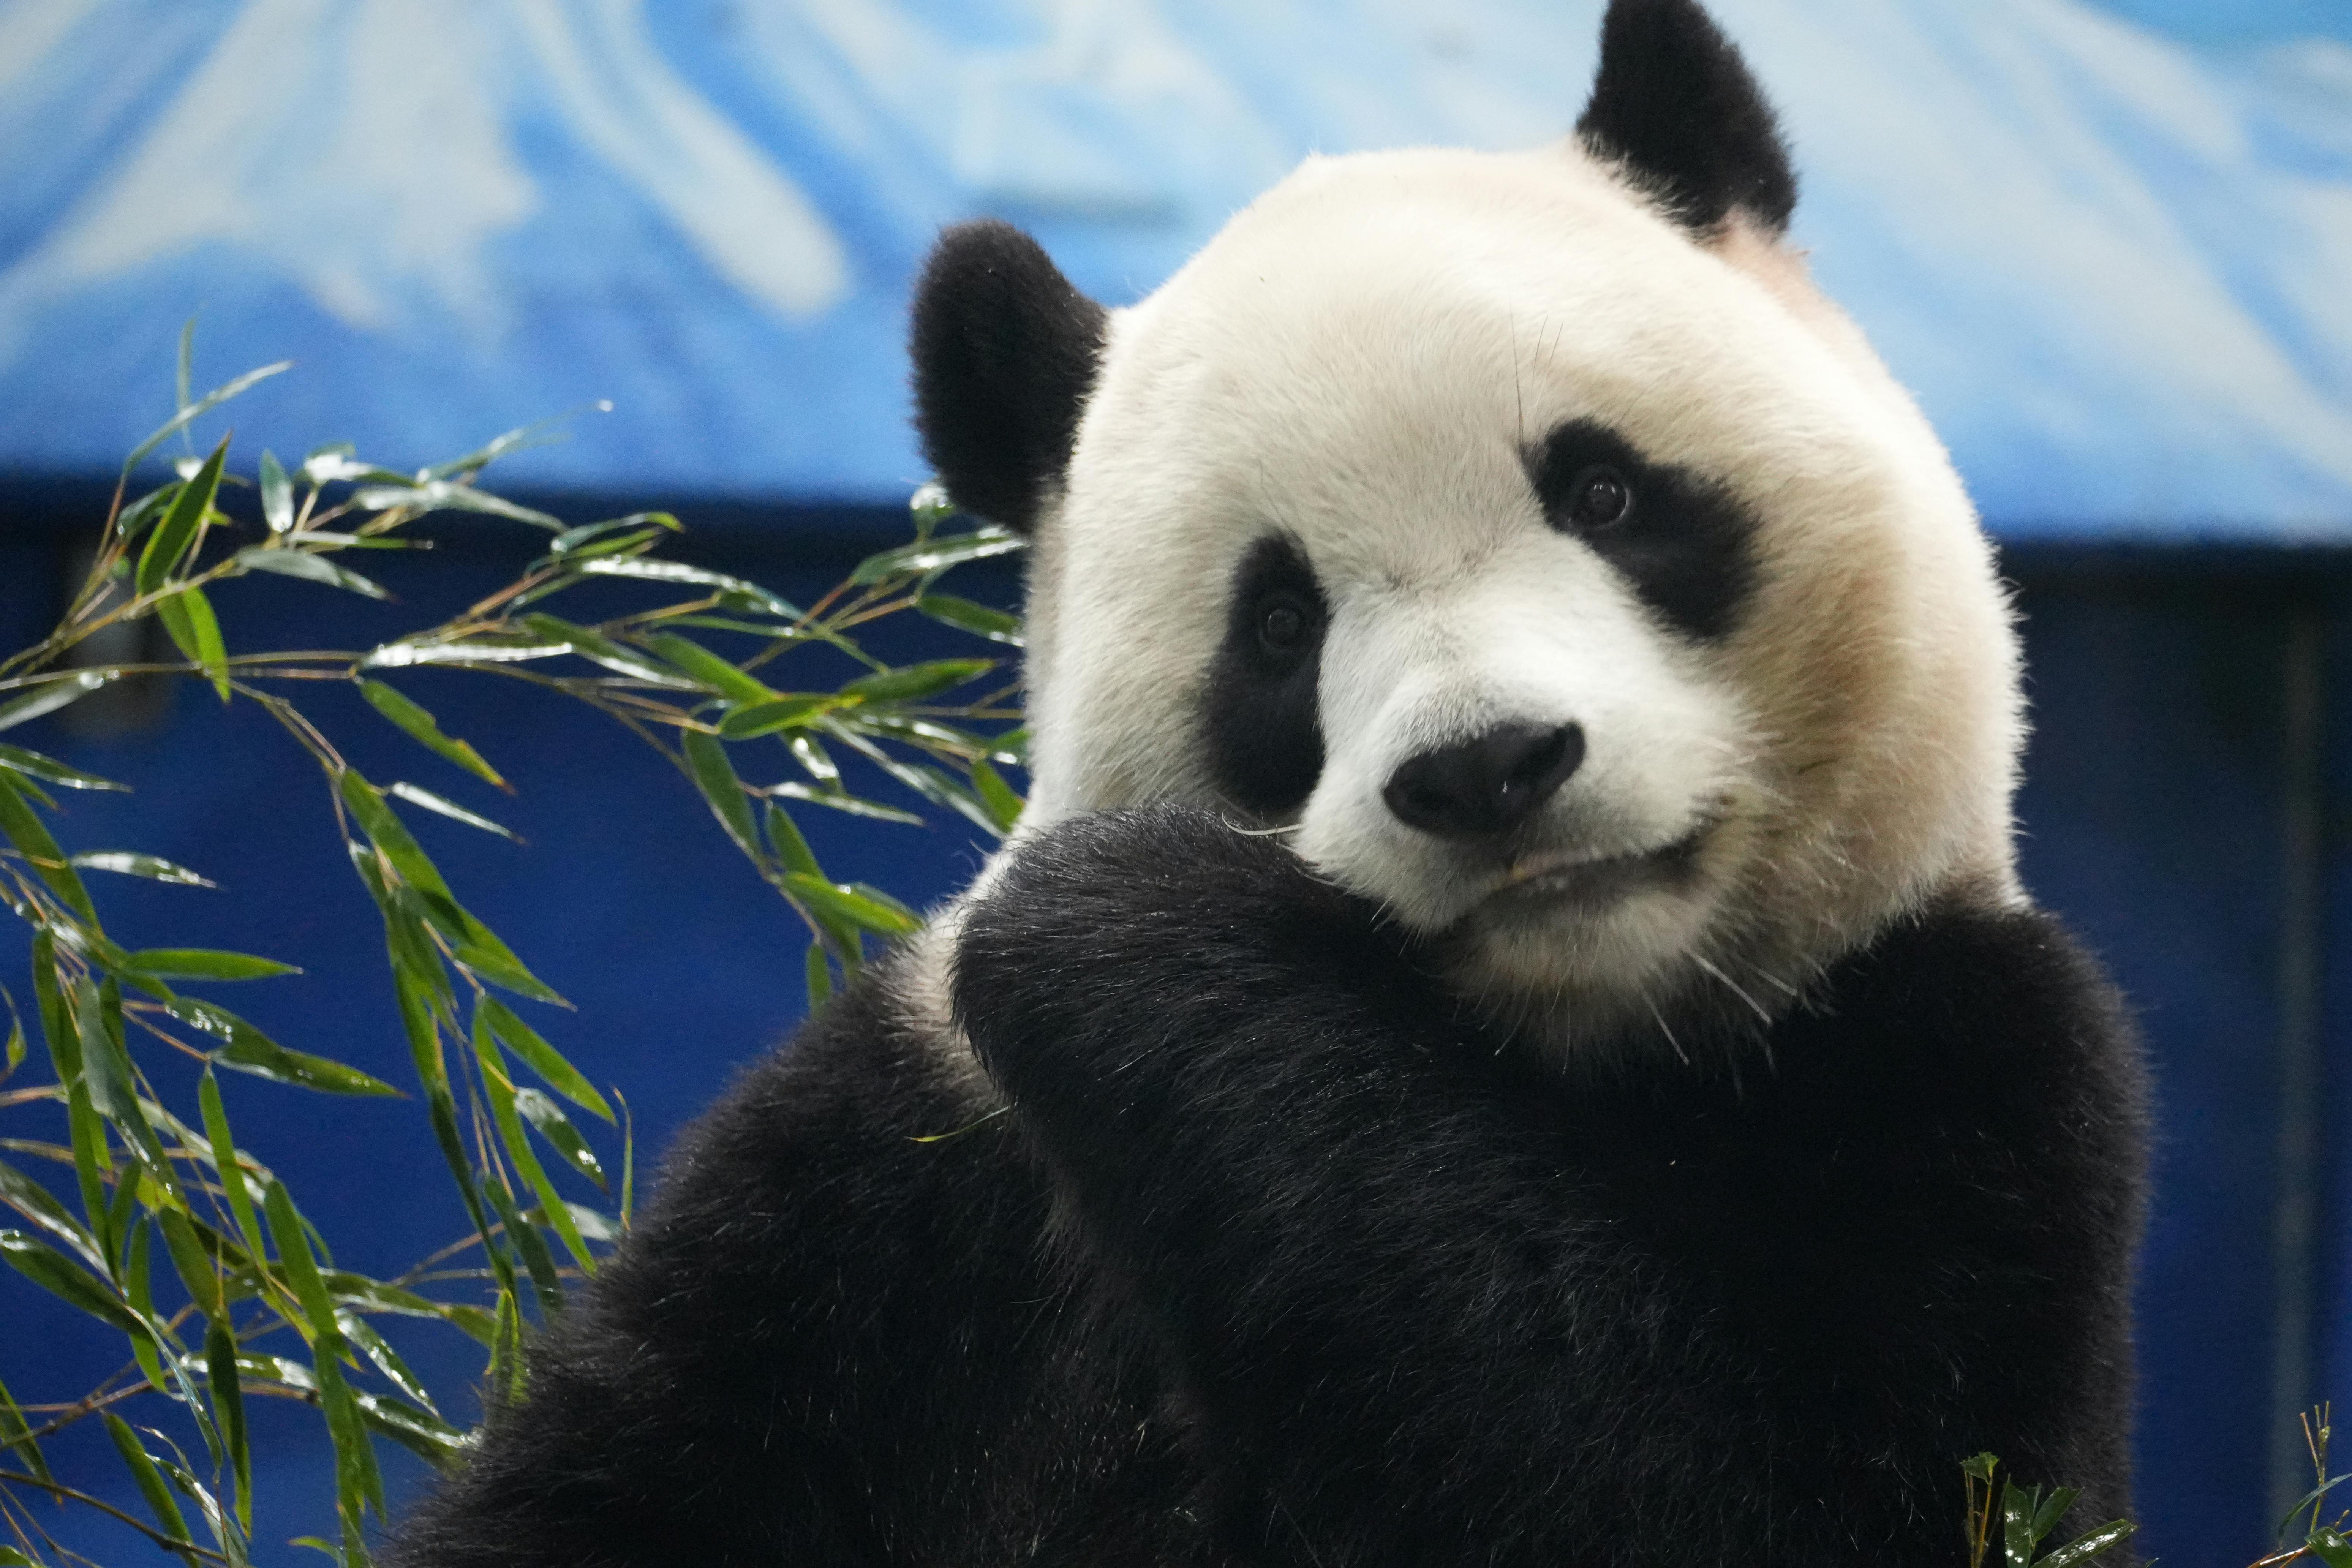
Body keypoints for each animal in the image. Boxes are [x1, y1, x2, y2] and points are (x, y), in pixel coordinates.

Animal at [391, 1, 2147, 1563]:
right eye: (1279, 625)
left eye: (1604, 493)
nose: (1486, 768)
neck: (1550, 1051)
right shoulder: (881, 1196)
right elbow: (619, 1478)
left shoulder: (1953, 1077)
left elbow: (1742, 1485)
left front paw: (1129, 929)